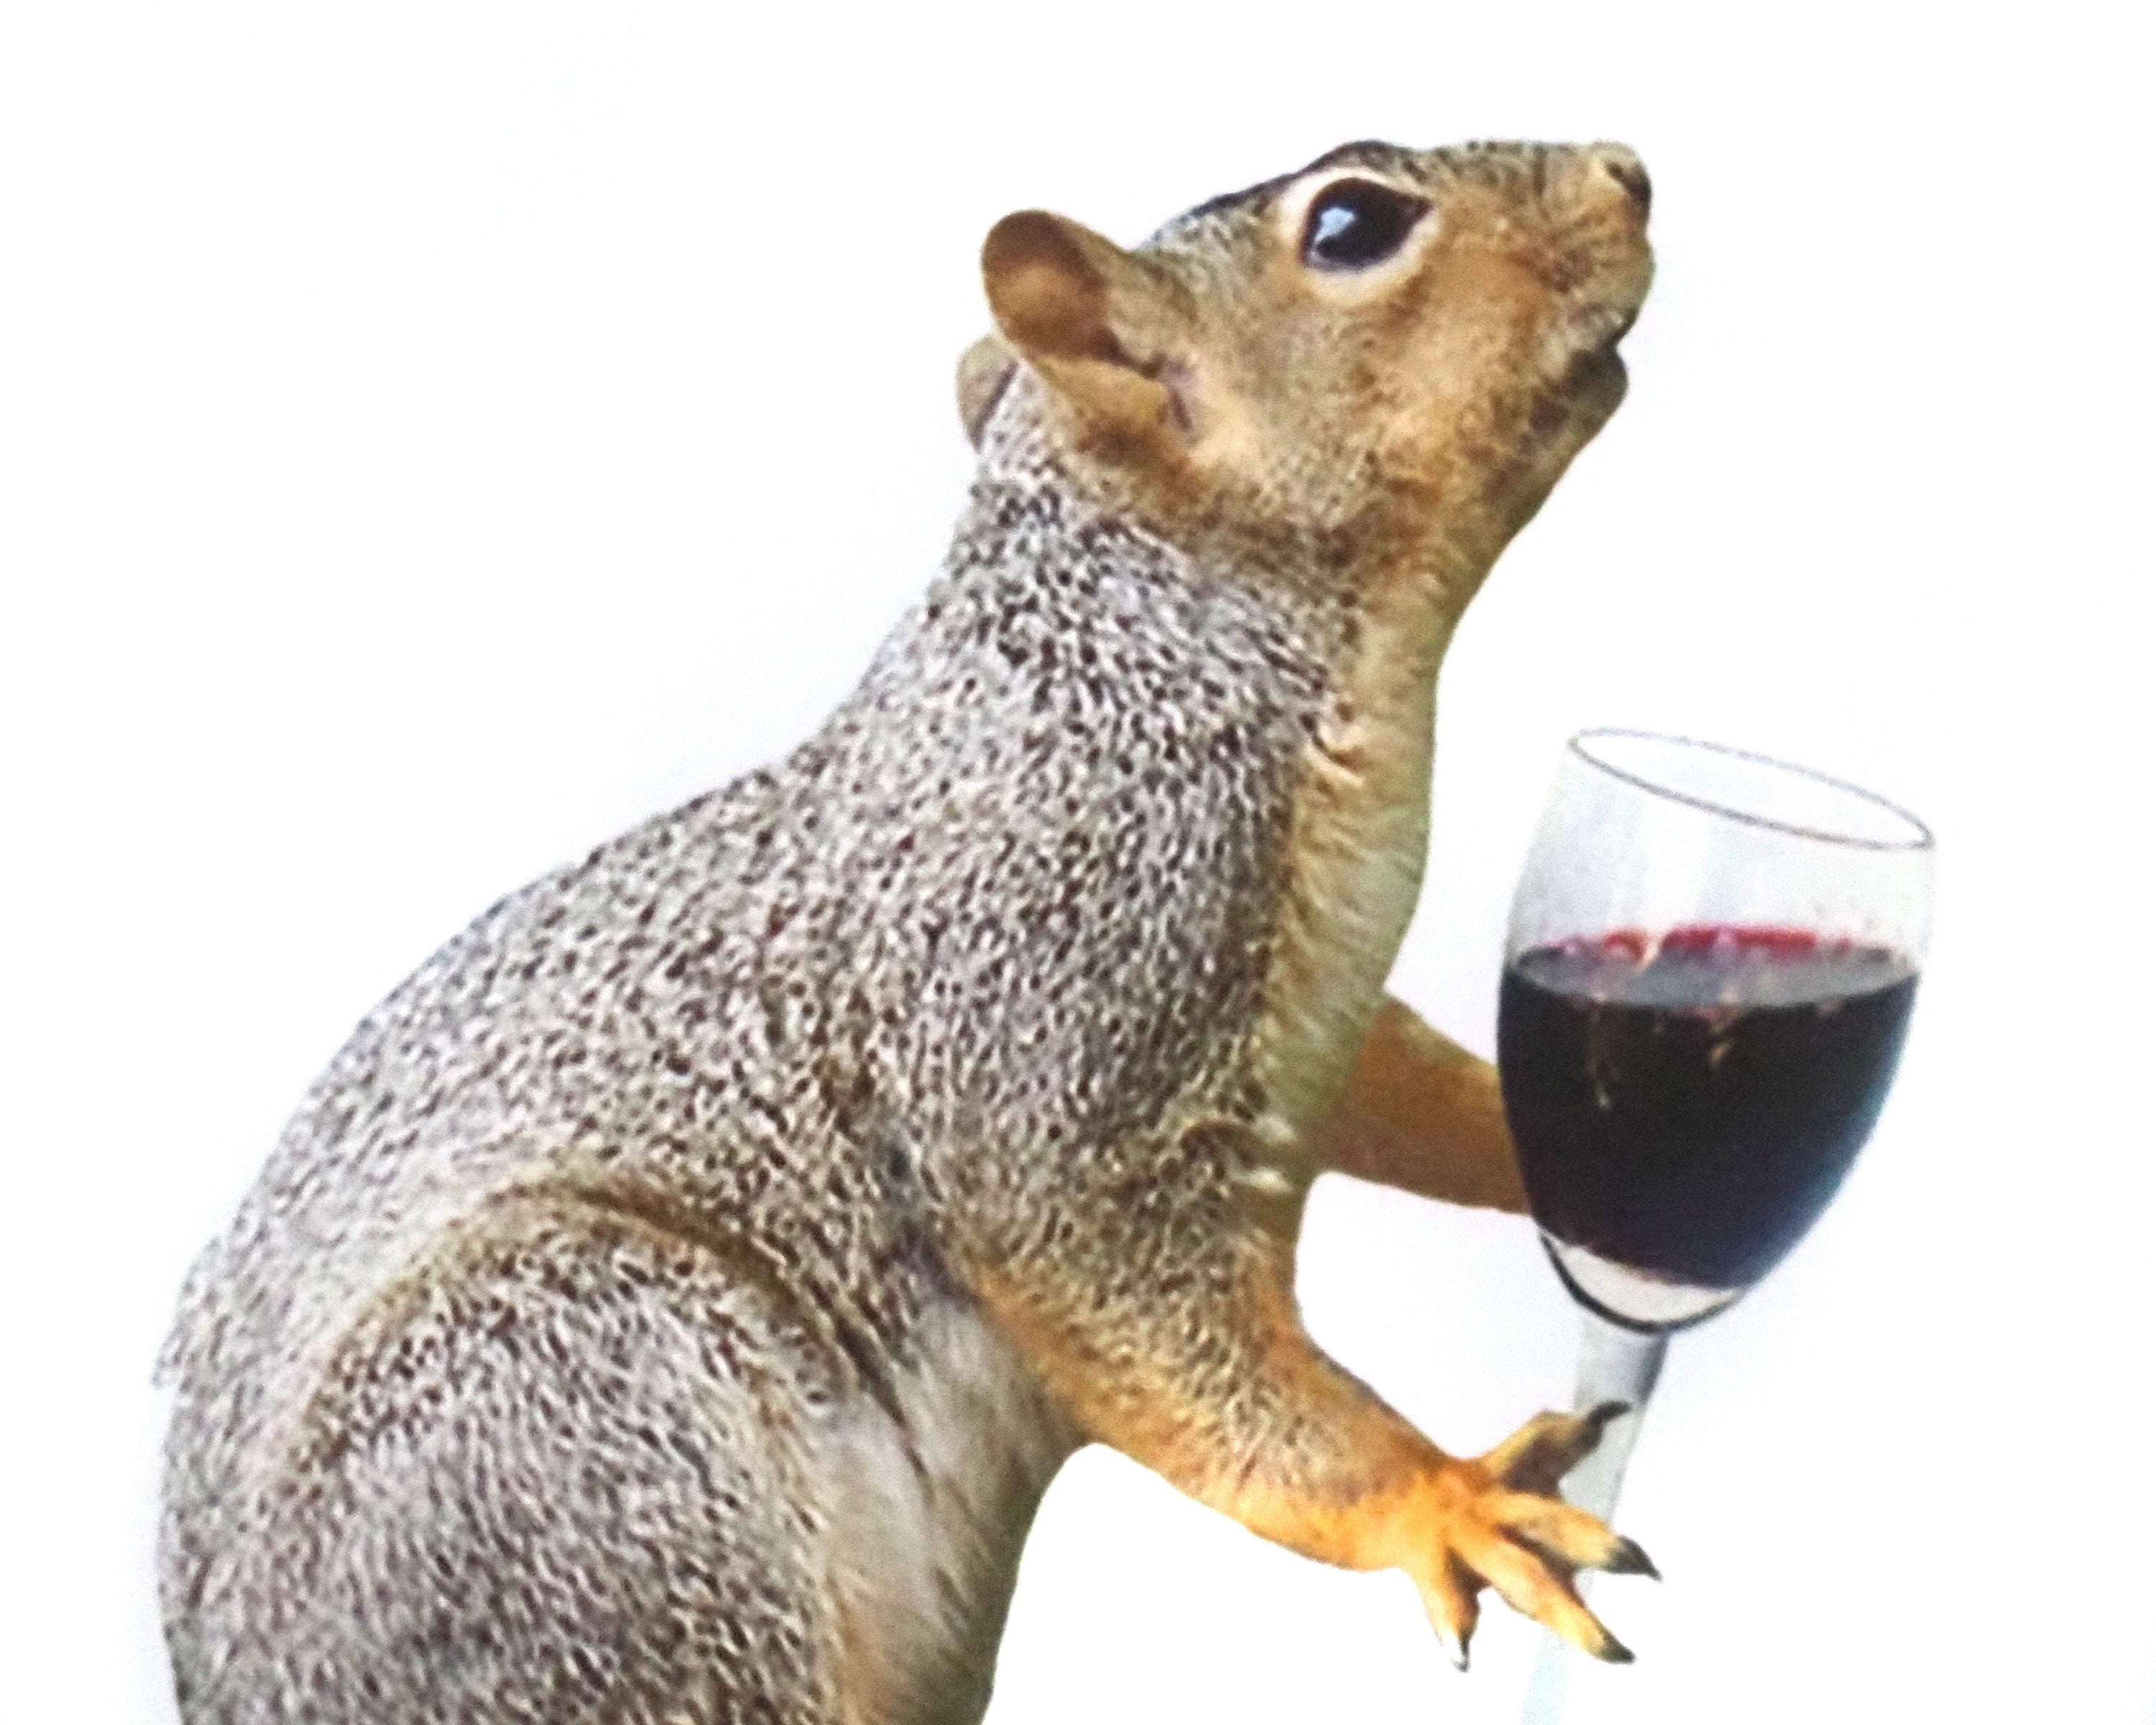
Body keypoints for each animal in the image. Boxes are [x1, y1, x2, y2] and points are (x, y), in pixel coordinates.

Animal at [159, 136, 1655, 1725]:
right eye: (1354, 225)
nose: (1627, 170)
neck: (1173, 653)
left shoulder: (1301, 1011)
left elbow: (1405, 1090)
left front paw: (1562, 1129)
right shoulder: (1047, 994)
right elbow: (1157, 1331)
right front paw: (1439, 1496)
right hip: (576, 1416)